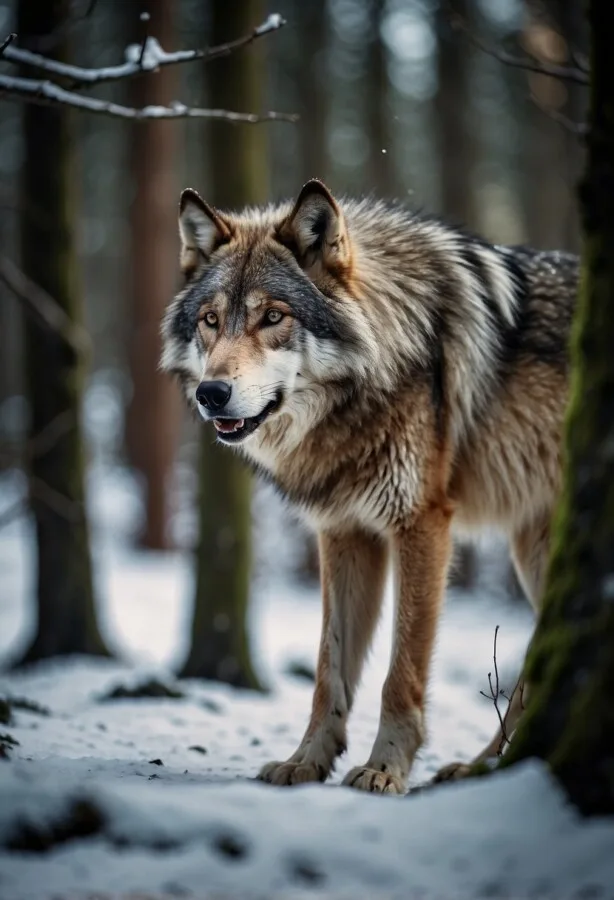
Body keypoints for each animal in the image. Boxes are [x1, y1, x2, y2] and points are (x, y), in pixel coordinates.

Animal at [161, 179, 577, 794]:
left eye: (273, 316)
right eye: (211, 320)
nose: (211, 394)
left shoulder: (422, 525)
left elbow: (400, 672)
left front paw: (384, 769)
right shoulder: (344, 532)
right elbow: (328, 670)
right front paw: (305, 762)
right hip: (535, 550)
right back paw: (480, 769)